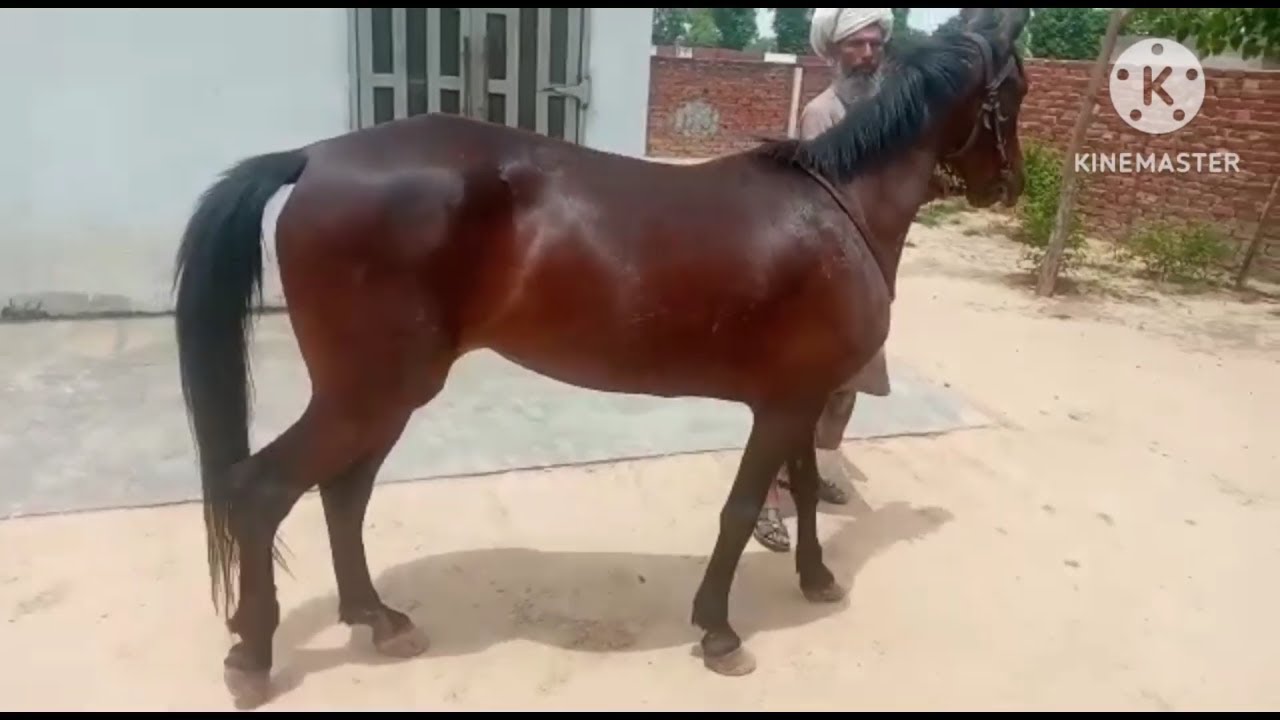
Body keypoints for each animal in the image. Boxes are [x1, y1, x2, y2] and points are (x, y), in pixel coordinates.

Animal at [172, 7, 1030, 707]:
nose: (1013, 187)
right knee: (264, 489)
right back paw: (252, 656)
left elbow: (809, 489)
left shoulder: (806, 394)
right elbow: (743, 506)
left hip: (384, 397)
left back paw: (377, 619)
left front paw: (816, 579)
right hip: (367, 393)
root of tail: (314, 157)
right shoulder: (783, 403)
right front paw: (719, 631)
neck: (836, 208)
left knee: (342, 496)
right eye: (1014, 89)